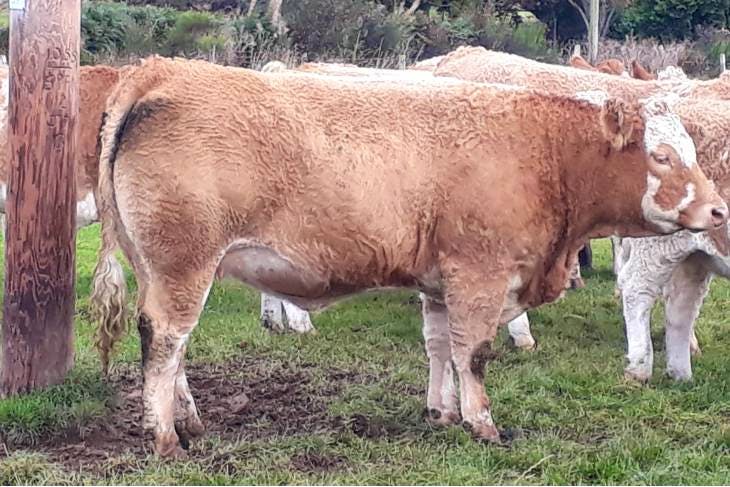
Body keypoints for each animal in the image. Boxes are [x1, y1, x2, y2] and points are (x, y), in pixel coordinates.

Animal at [89, 55, 726, 457]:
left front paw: (441, 413)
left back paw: (189, 421)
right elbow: (475, 352)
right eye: (663, 156)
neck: (545, 151)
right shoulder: (480, 273)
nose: (719, 211)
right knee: (165, 340)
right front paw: (482, 424)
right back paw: (166, 438)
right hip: (184, 264)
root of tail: (160, 72)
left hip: (161, 268)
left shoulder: (440, 281)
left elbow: (440, 346)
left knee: (172, 347)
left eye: (694, 150)